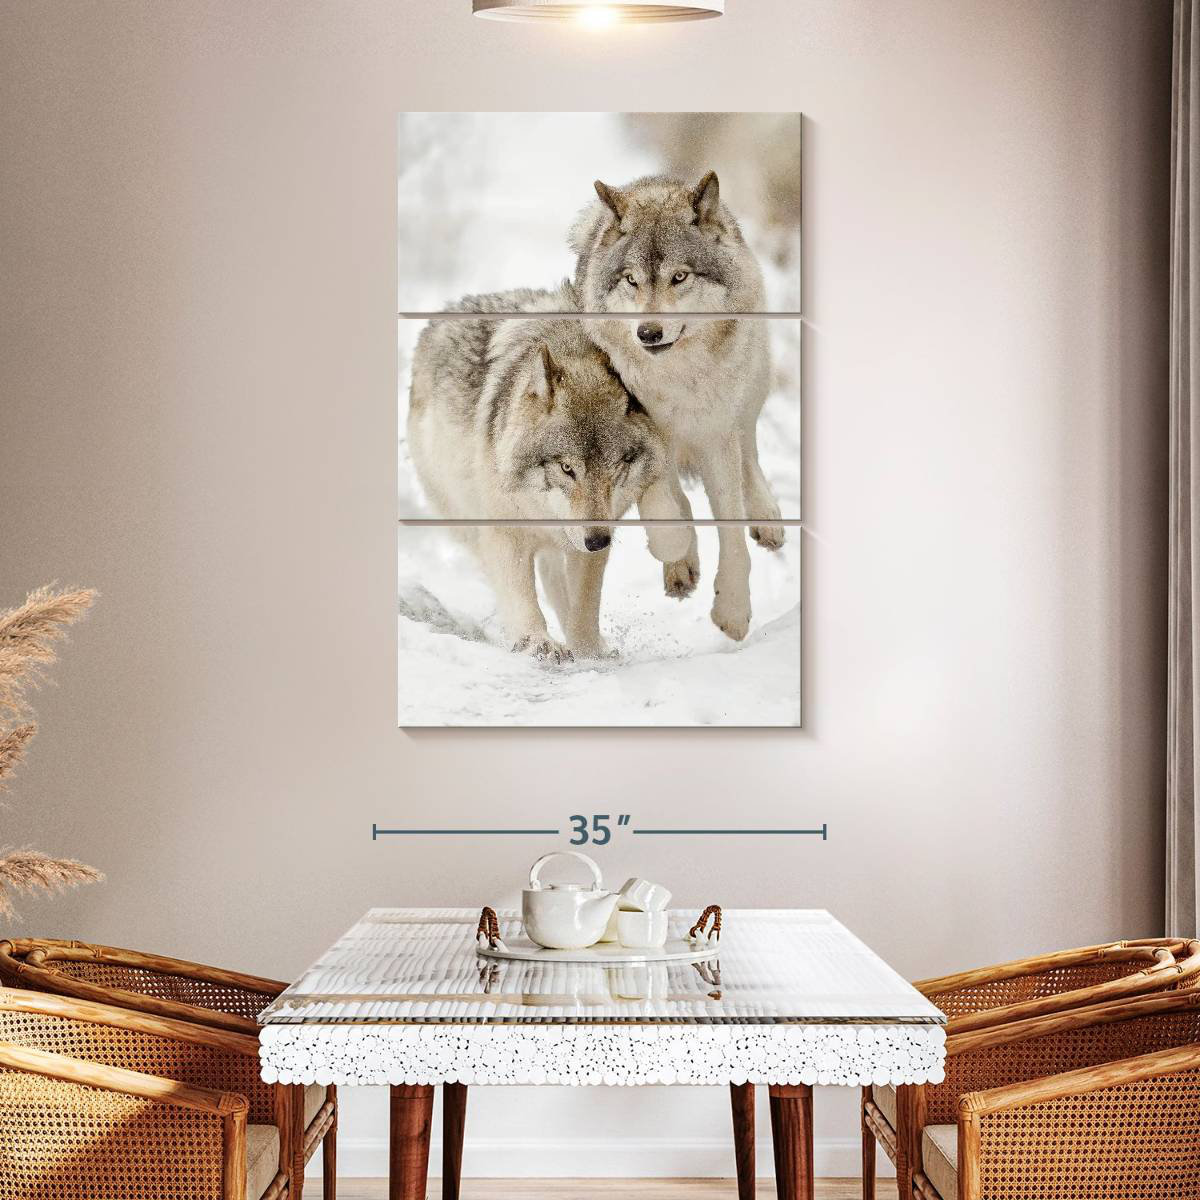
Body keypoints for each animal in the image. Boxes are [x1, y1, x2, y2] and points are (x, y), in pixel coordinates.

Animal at [408, 287, 688, 662]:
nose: (598, 541)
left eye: (616, 466)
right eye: (566, 468)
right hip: (465, 519)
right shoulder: (505, 534)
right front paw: (536, 643)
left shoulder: (594, 533)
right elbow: (522, 597)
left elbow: (584, 604)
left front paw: (588, 651)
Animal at [570, 171, 784, 642]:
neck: (678, 381)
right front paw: (678, 555)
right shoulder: (648, 431)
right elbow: (668, 504)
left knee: (750, 451)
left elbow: (732, 529)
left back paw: (768, 519)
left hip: (752, 388)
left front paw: (733, 611)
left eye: (680, 276)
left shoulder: (716, 433)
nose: (648, 333)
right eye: (631, 280)